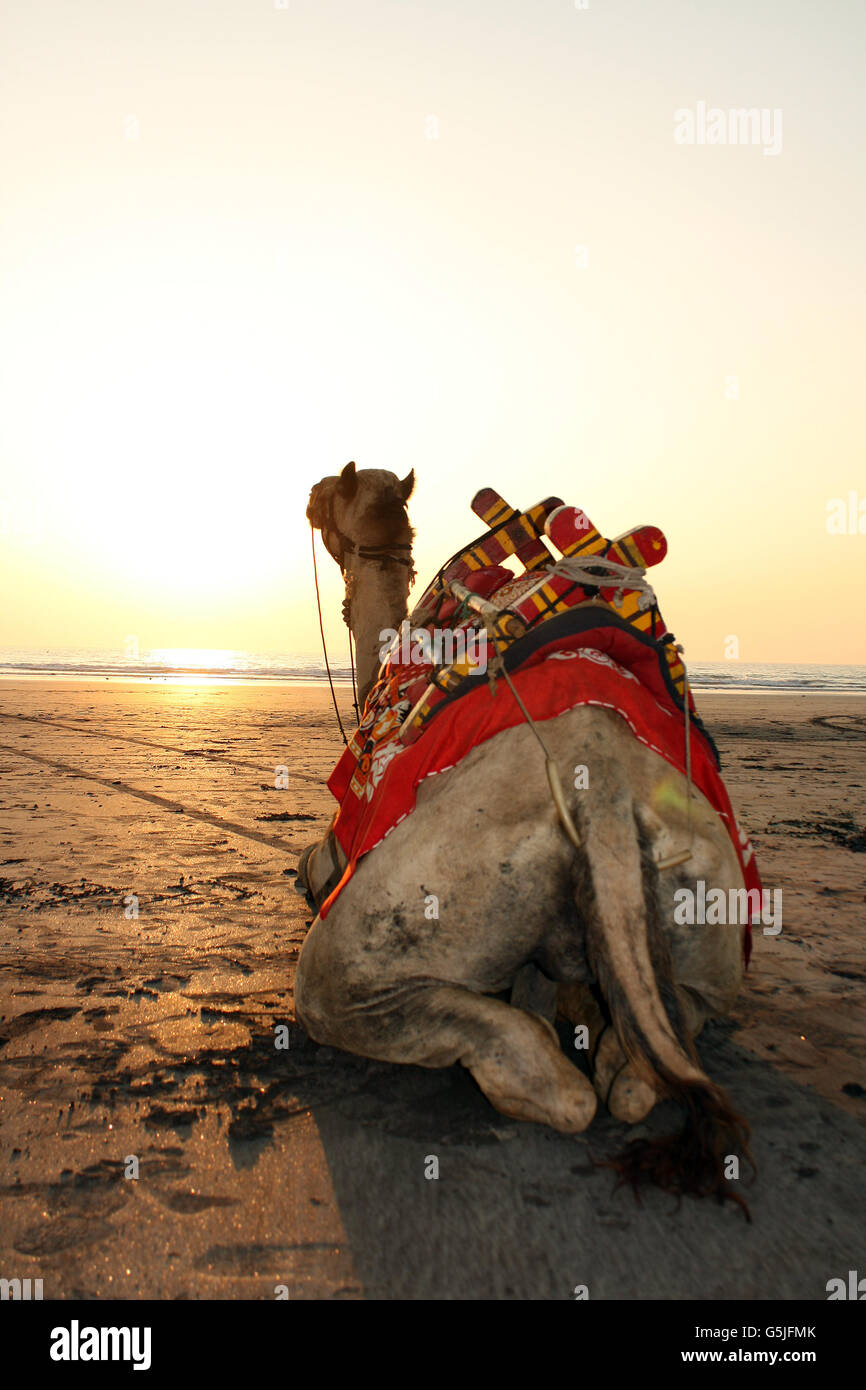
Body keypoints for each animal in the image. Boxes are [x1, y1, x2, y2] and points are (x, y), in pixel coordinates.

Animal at [298, 462, 752, 1206]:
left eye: (334, 493)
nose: (310, 496)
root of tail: (602, 790)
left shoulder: (335, 851)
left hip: (387, 928)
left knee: (554, 1081)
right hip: (709, 915)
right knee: (647, 1057)